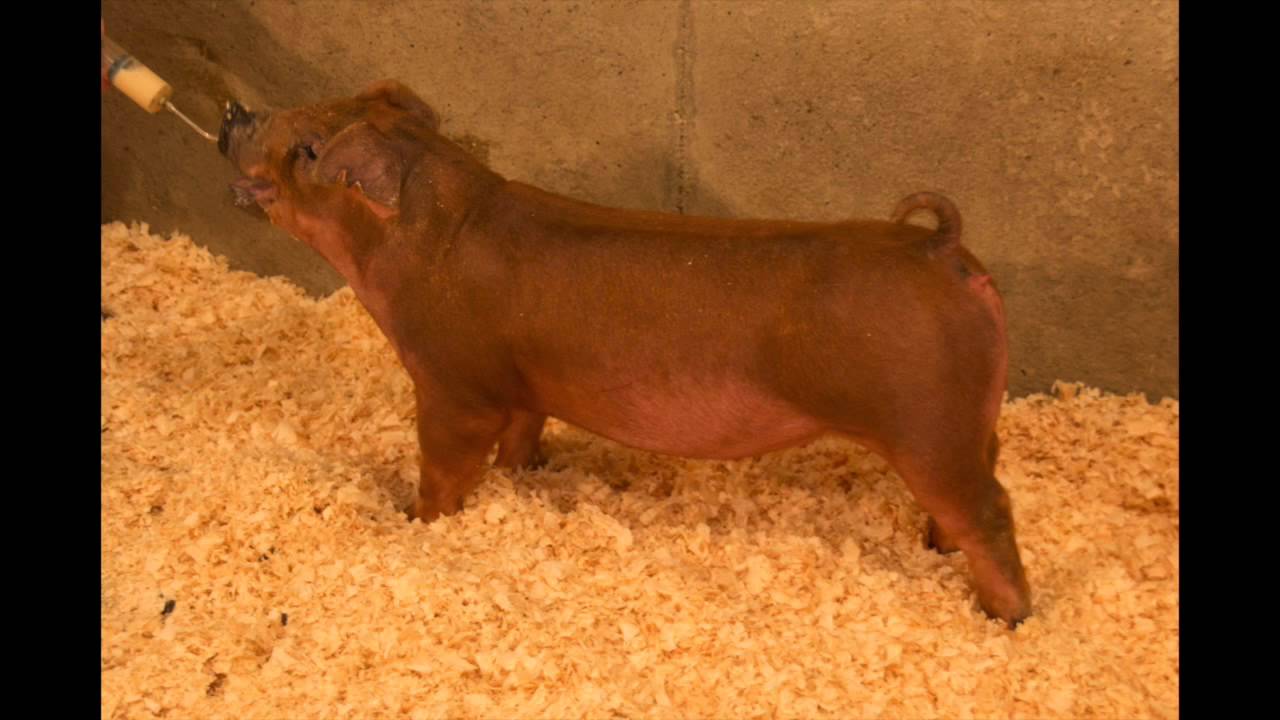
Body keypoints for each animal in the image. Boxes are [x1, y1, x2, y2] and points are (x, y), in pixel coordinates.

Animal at [219, 80, 1031, 627]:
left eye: (308, 150)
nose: (234, 114)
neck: (423, 244)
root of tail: (938, 248)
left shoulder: (455, 386)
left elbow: (445, 467)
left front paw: (419, 520)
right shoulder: (524, 389)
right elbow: (524, 437)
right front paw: (524, 475)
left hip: (925, 422)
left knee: (992, 508)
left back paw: (1006, 615)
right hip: (966, 418)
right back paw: (938, 551)